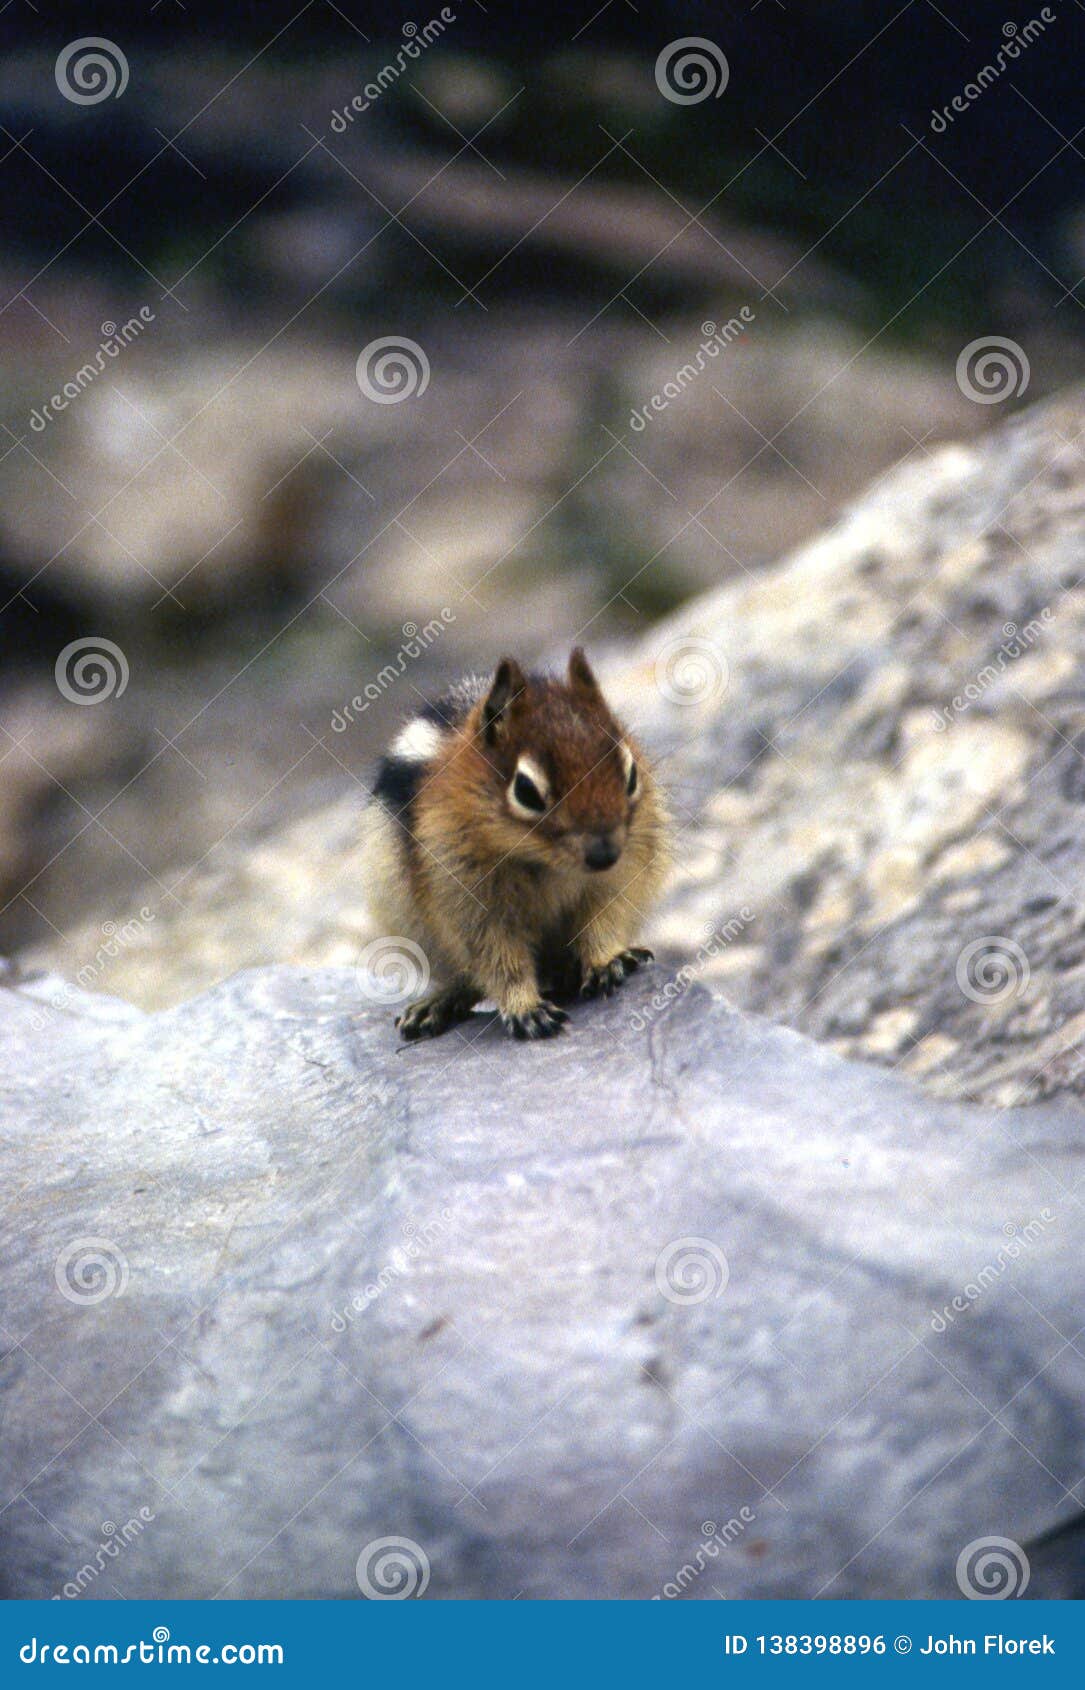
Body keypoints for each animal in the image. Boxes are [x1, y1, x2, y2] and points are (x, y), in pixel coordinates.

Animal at [363, 646, 671, 1041]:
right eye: (526, 790)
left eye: (631, 775)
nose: (604, 854)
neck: (545, 862)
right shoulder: (466, 897)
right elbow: (497, 957)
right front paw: (525, 1008)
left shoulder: (623, 871)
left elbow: (605, 917)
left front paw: (607, 961)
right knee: (466, 981)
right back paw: (437, 1004)